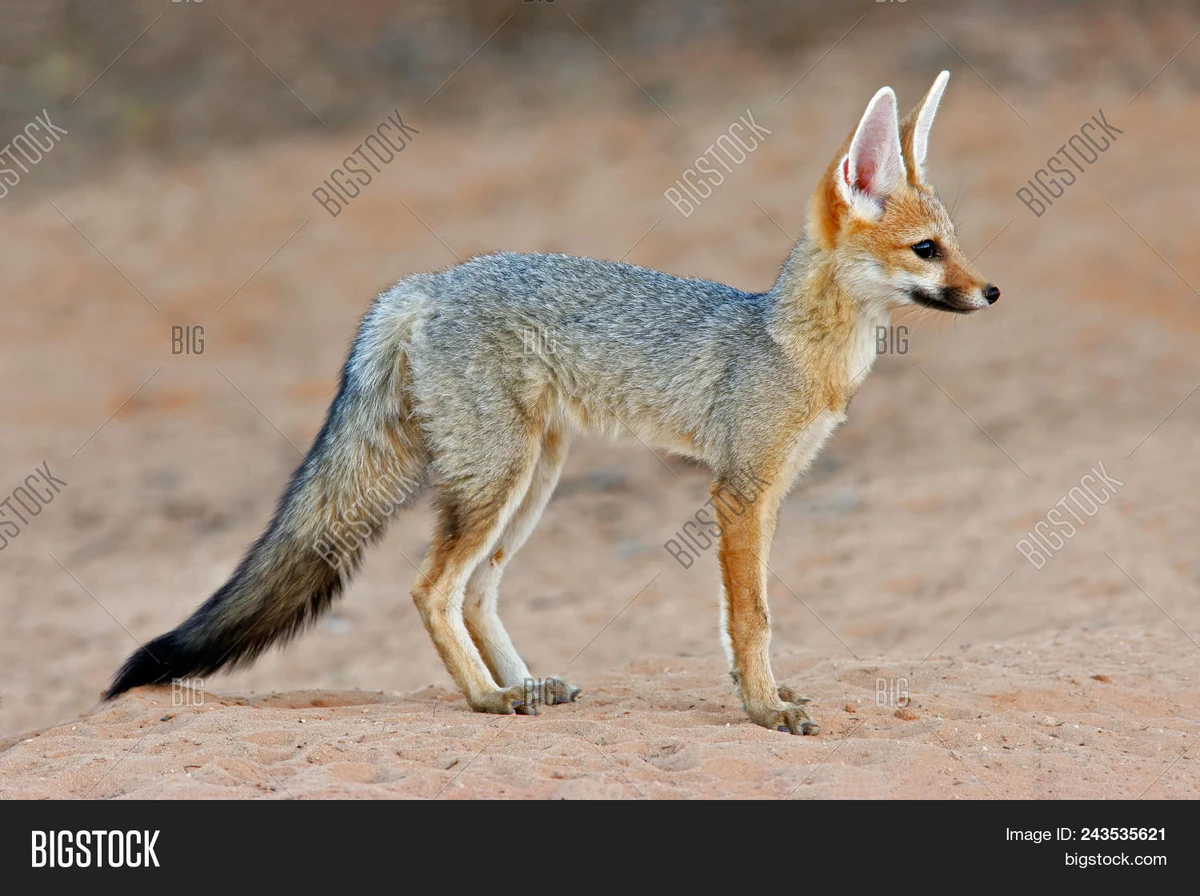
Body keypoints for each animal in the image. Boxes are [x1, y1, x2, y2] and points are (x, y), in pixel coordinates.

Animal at [105, 71, 998, 734]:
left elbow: (751, 617)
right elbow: (754, 619)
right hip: (497, 480)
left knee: (477, 591)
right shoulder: (740, 493)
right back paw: (487, 697)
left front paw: (765, 695)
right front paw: (763, 708)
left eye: (956, 244)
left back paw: (526, 684)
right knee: (431, 589)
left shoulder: (768, 494)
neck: (789, 343)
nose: (991, 291)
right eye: (926, 251)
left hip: (533, 480)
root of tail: (424, 284)